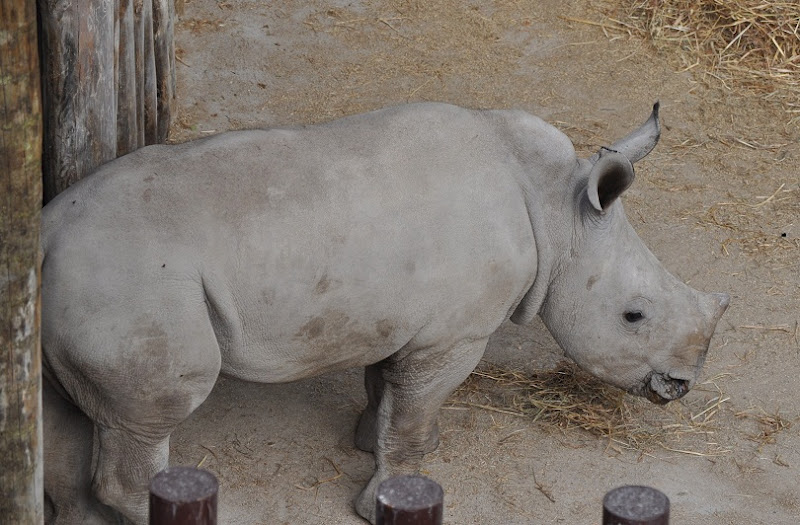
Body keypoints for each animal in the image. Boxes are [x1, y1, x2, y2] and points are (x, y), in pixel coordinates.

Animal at [41, 102, 729, 524]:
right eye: (634, 316)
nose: (680, 386)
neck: (558, 209)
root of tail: (44, 235)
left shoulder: (401, 319)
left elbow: (388, 392)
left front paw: (367, 441)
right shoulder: (454, 334)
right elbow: (412, 418)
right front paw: (385, 500)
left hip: (87, 287)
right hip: (132, 286)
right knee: (151, 416)